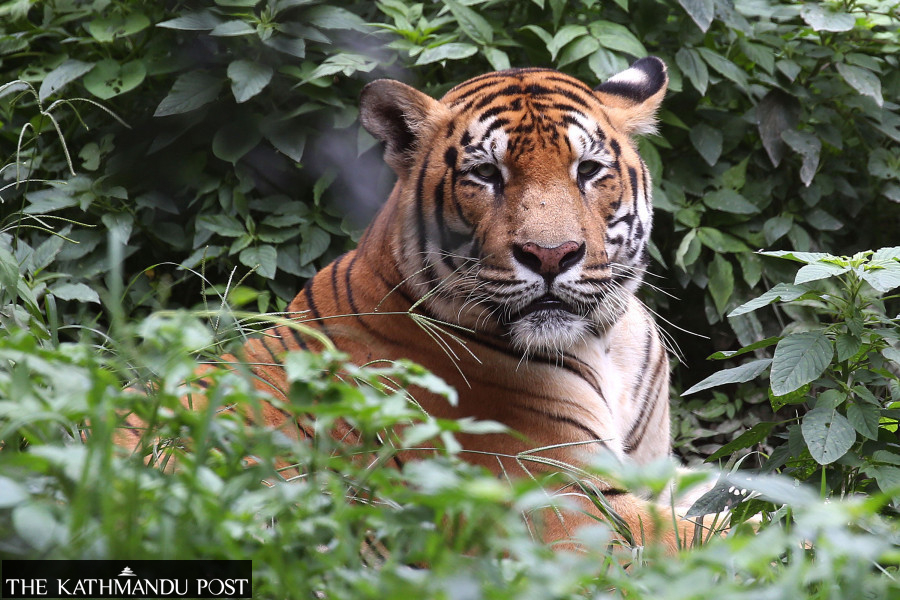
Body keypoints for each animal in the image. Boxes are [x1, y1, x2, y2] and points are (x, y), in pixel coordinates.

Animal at [124, 56, 707, 552]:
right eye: (486, 175)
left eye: (587, 170)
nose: (550, 255)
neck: (605, 342)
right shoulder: (564, 505)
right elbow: (711, 538)